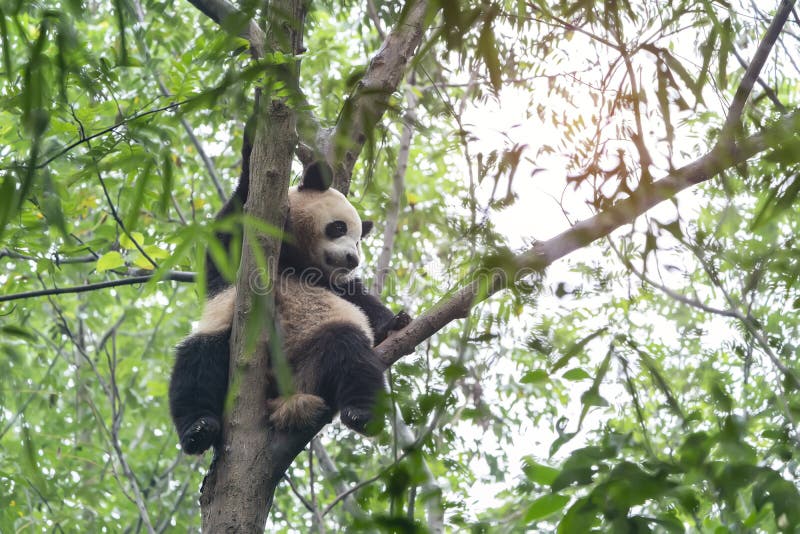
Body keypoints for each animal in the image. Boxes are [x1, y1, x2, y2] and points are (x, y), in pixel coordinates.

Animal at [168, 132, 410, 455]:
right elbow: (225, 236)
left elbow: (361, 301)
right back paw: (198, 430)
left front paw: (396, 321)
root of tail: (287, 397)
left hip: (317, 352)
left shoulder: (329, 281)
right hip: (227, 336)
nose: (352, 259)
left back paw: (361, 414)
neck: (293, 257)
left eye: (359, 241)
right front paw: (252, 146)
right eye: (338, 227)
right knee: (197, 363)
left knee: (352, 355)